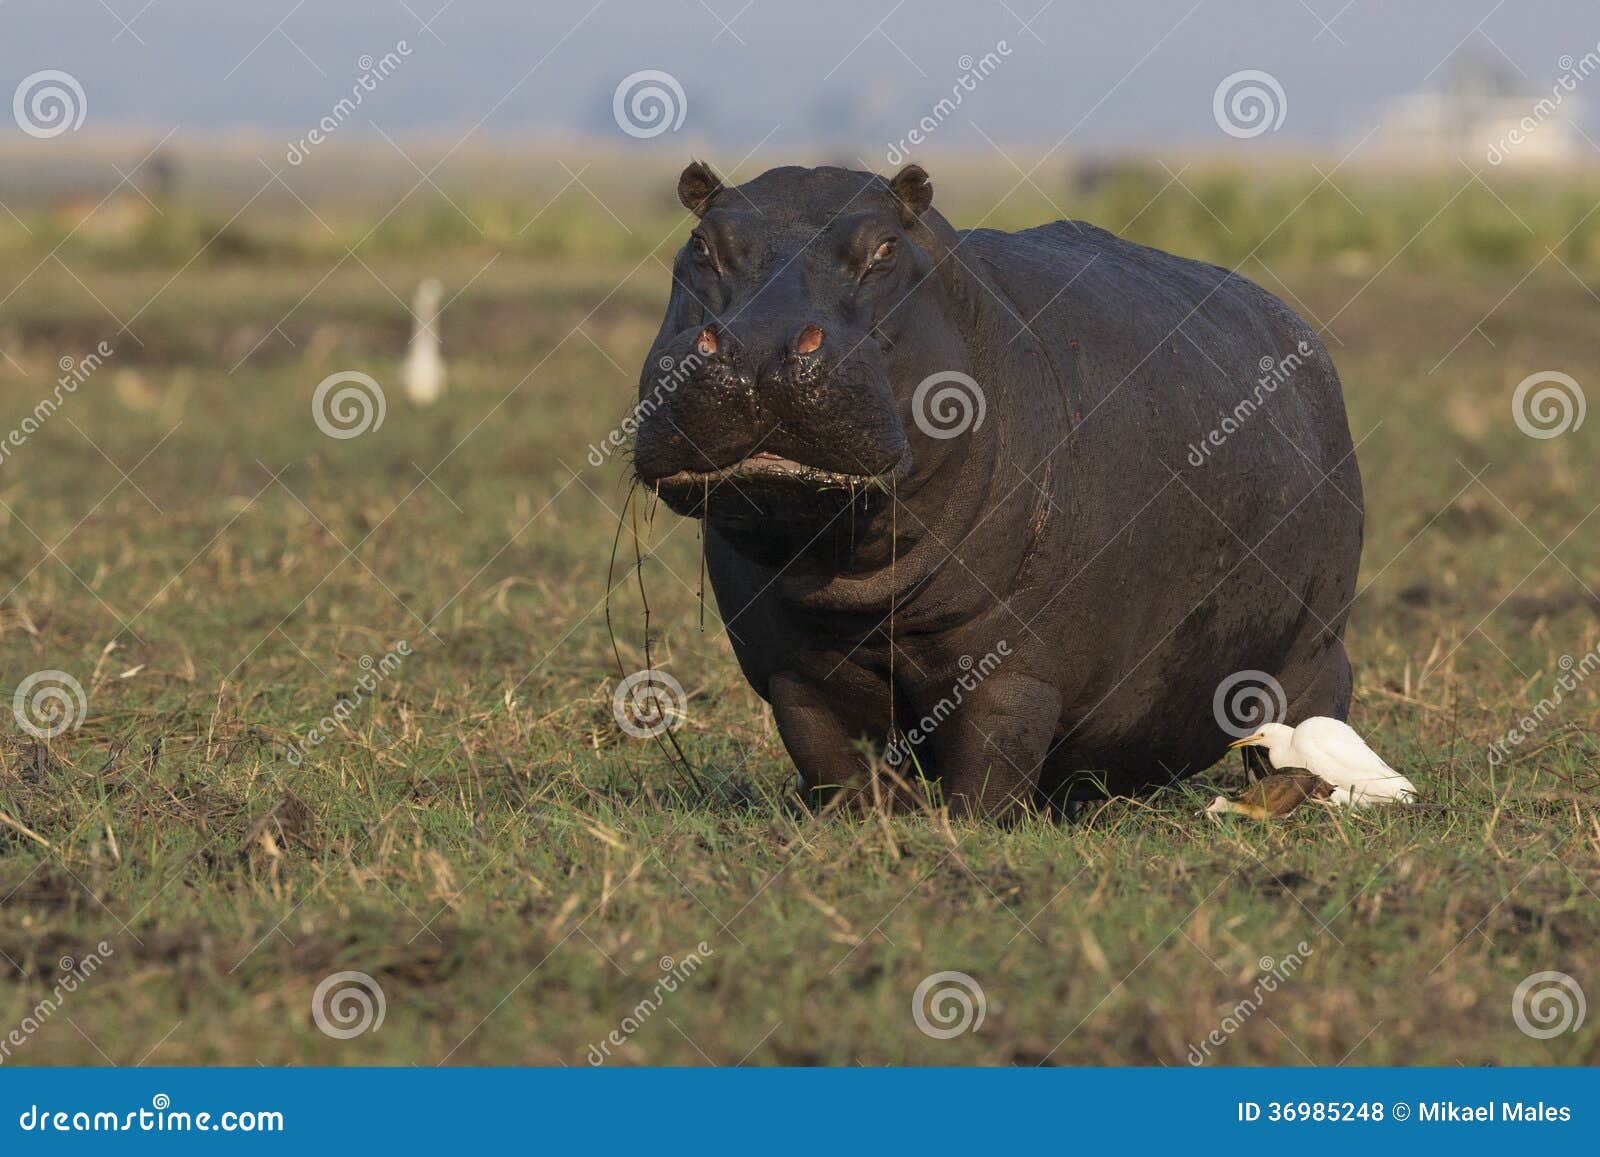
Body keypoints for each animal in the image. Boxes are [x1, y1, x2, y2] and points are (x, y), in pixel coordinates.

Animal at [631, 161, 1363, 819]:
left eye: (884, 248)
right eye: (701, 244)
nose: (757, 346)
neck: (854, 575)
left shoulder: (1015, 673)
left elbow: (990, 768)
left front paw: (968, 832)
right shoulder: (796, 670)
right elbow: (836, 763)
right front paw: (857, 828)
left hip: (1316, 647)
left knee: (1307, 726)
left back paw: (1271, 803)